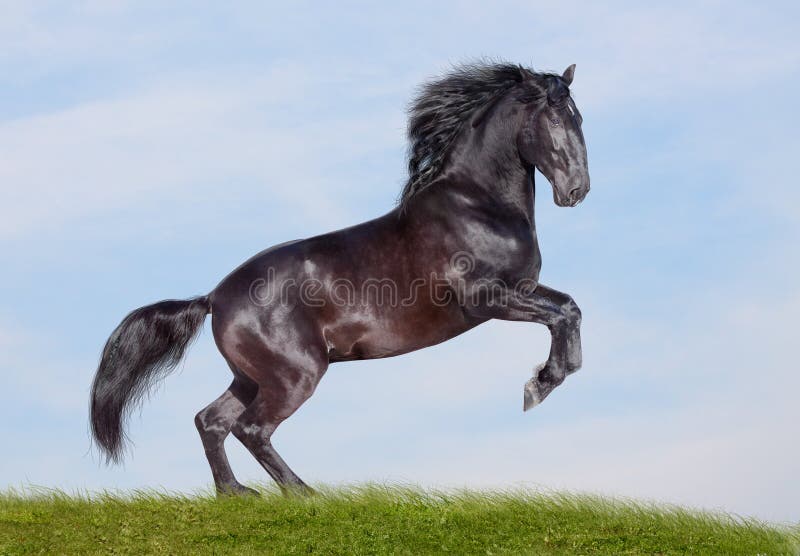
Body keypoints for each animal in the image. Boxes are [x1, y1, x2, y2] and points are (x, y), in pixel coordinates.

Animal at [90, 61, 590, 495]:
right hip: (295, 374)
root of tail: (214, 297)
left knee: (211, 420)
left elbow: (569, 308)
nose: (577, 191)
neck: (477, 205)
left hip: (253, 376)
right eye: (552, 119)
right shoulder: (488, 297)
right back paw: (303, 493)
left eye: (577, 117)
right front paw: (538, 386)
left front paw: (546, 379)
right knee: (250, 428)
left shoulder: (518, 291)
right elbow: (563, 312)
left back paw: (236, 493)